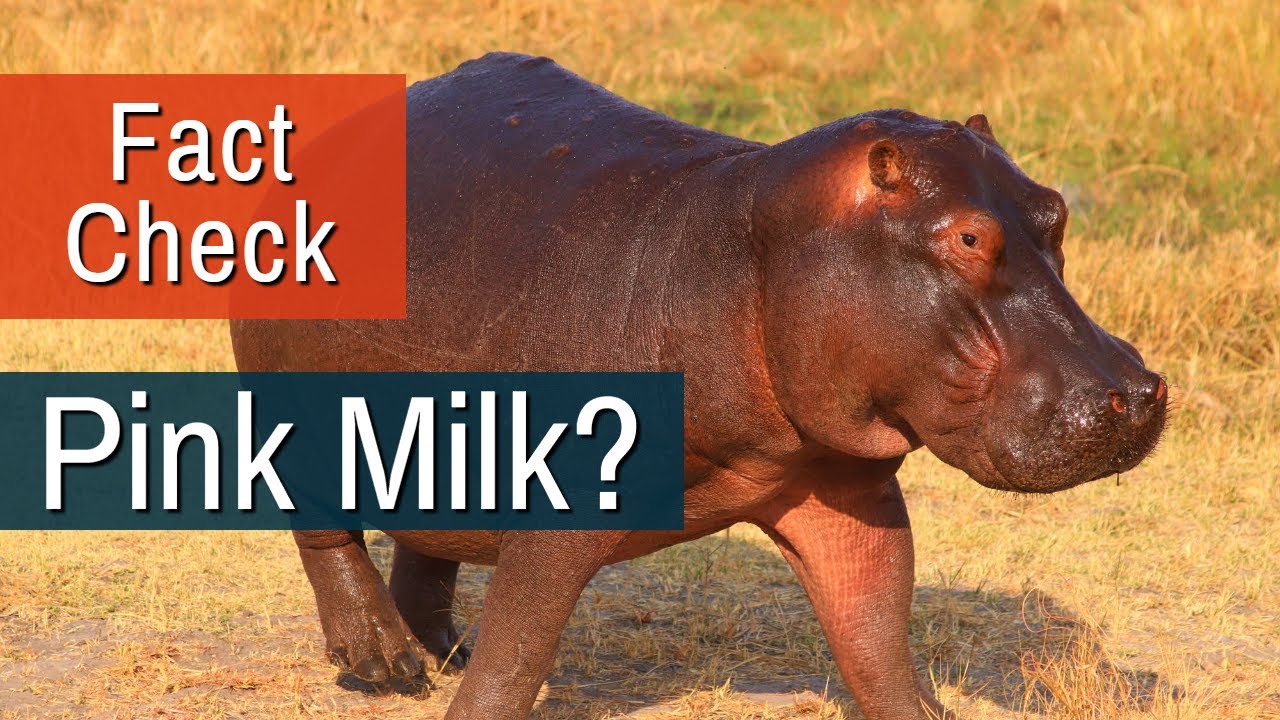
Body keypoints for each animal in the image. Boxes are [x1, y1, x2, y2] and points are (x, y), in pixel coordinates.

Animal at [230, 52, 1167, 720]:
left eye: (1055, 211)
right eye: (969, 237)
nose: (1138, 391)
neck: (748, 249)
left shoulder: (841, 489)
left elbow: (875, 631)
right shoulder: (559, 510)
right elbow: (518, 653)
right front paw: (466, 690)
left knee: (429, 544)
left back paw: (435, 652)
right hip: (295, 423)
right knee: (326, 537)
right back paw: (384, 666)